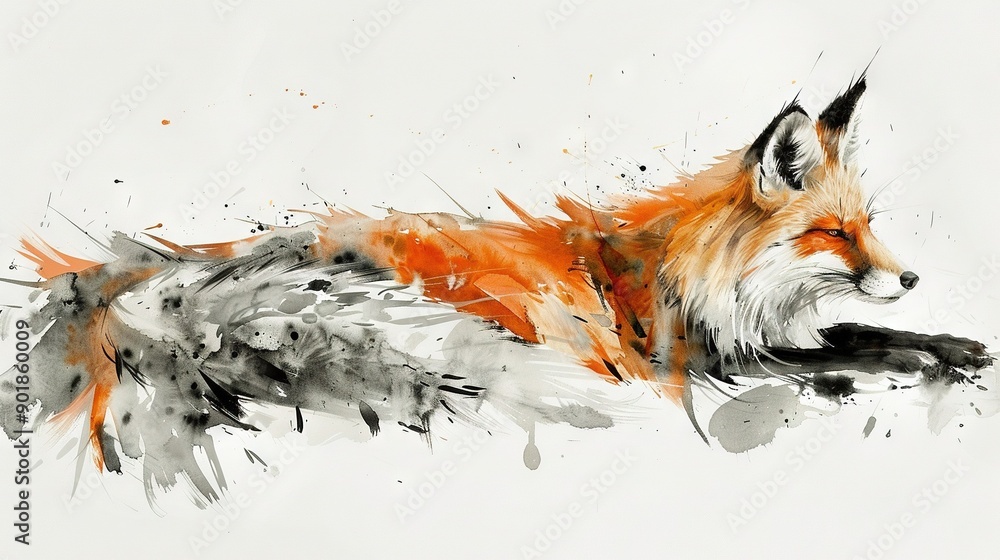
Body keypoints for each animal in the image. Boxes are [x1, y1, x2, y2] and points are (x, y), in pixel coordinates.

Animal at [0, 75, 992, 502]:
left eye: (867, 225)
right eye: (836, 234)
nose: (909, 273)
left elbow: (878, 337)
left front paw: (955, 345)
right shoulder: (707, 358)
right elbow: (862, 348)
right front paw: (926, 356)